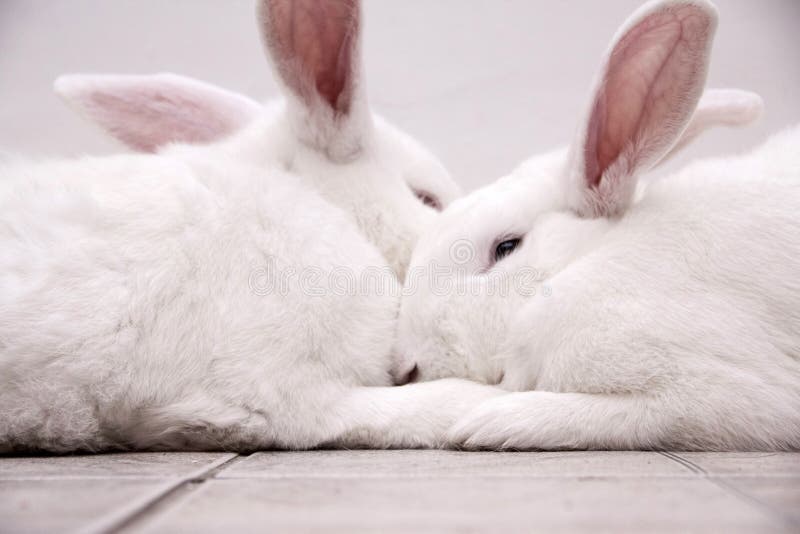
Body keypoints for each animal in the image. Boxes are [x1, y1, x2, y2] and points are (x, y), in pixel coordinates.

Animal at [393, 0, 800, 451]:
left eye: (506, 247)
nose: (404, 369)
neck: (587, 261)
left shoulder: (725, 390)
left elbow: (620, 416)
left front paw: (492, 422)